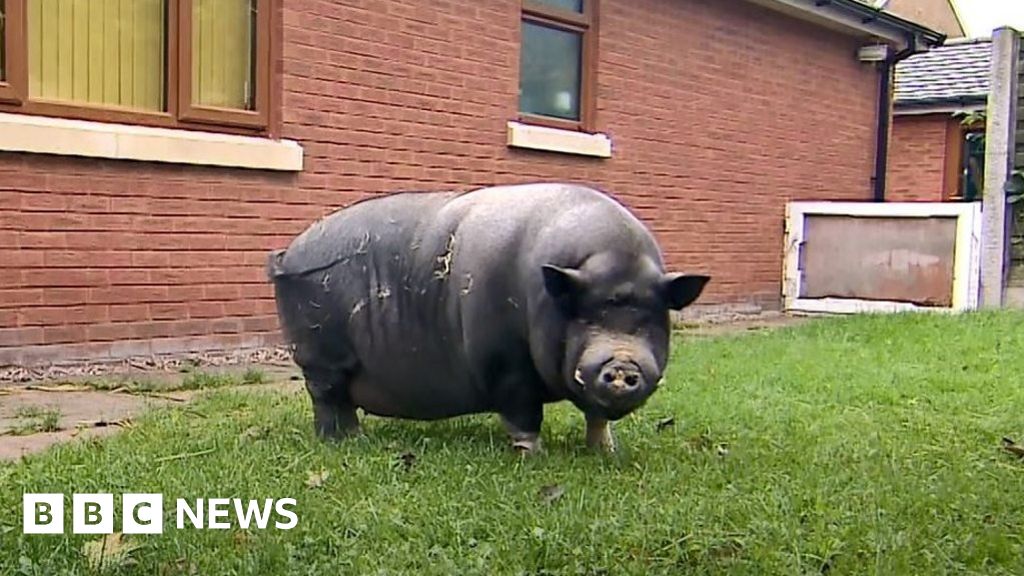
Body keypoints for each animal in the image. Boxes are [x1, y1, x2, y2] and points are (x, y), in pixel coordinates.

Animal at [267, 183, 709, 452]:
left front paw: (606, 453)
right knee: (328, 400)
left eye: (650, 319)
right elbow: (524, 414)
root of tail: (288, 253)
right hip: (319, 357)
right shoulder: (505, 361)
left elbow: (597, 417)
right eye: (586, 317)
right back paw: (345, 442)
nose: (622, 364)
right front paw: (532, 456)